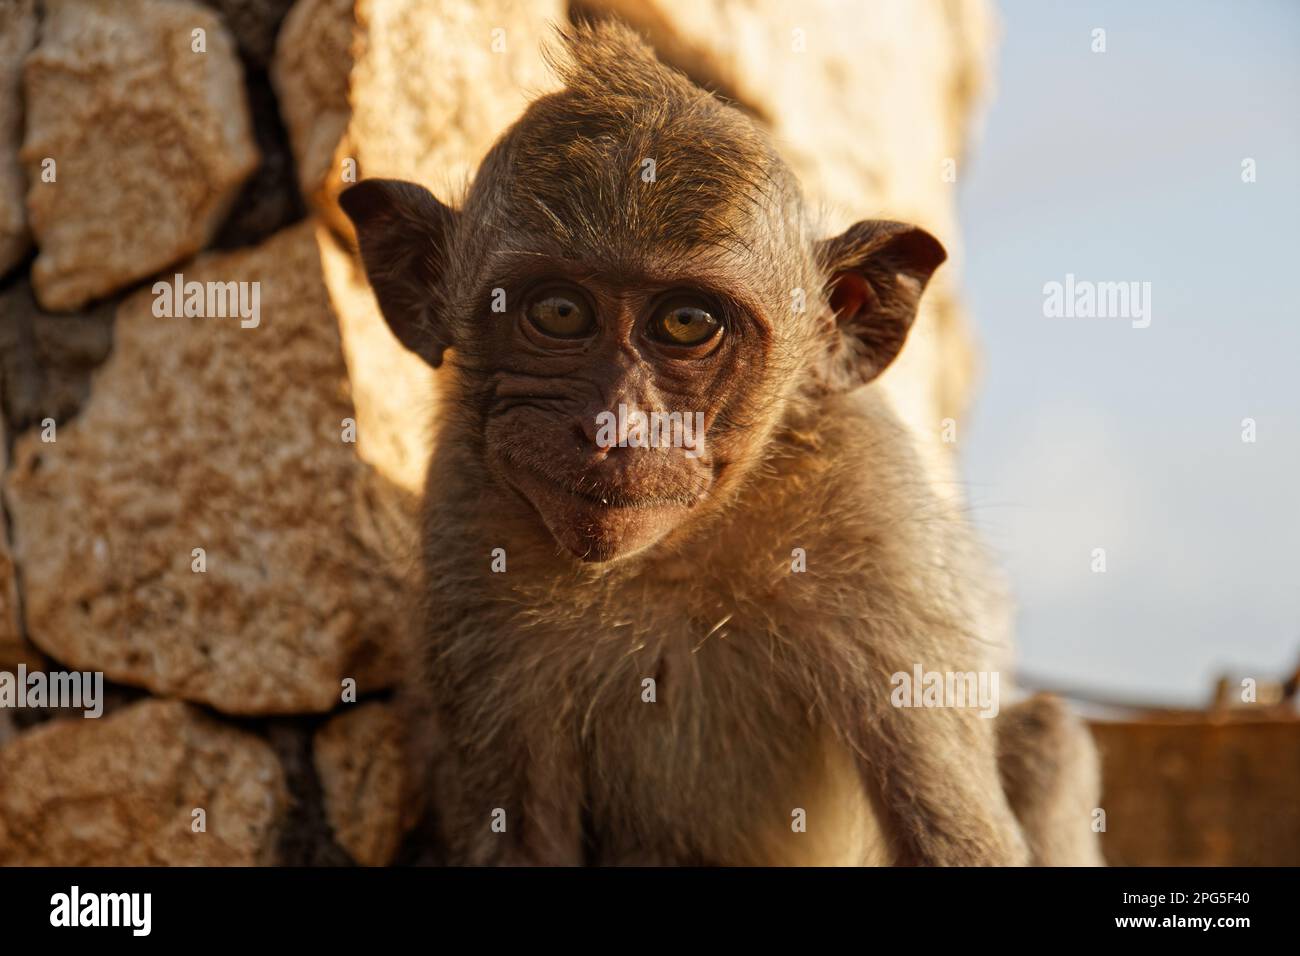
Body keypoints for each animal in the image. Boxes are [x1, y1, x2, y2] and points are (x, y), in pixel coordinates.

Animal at [340, 21, 1102, 866]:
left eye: (686, 323)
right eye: (560, 311)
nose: (615, 425)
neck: (667, 556)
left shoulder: (877, 518)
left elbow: (957, 833)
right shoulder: (468, 526)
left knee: (1047, 737)